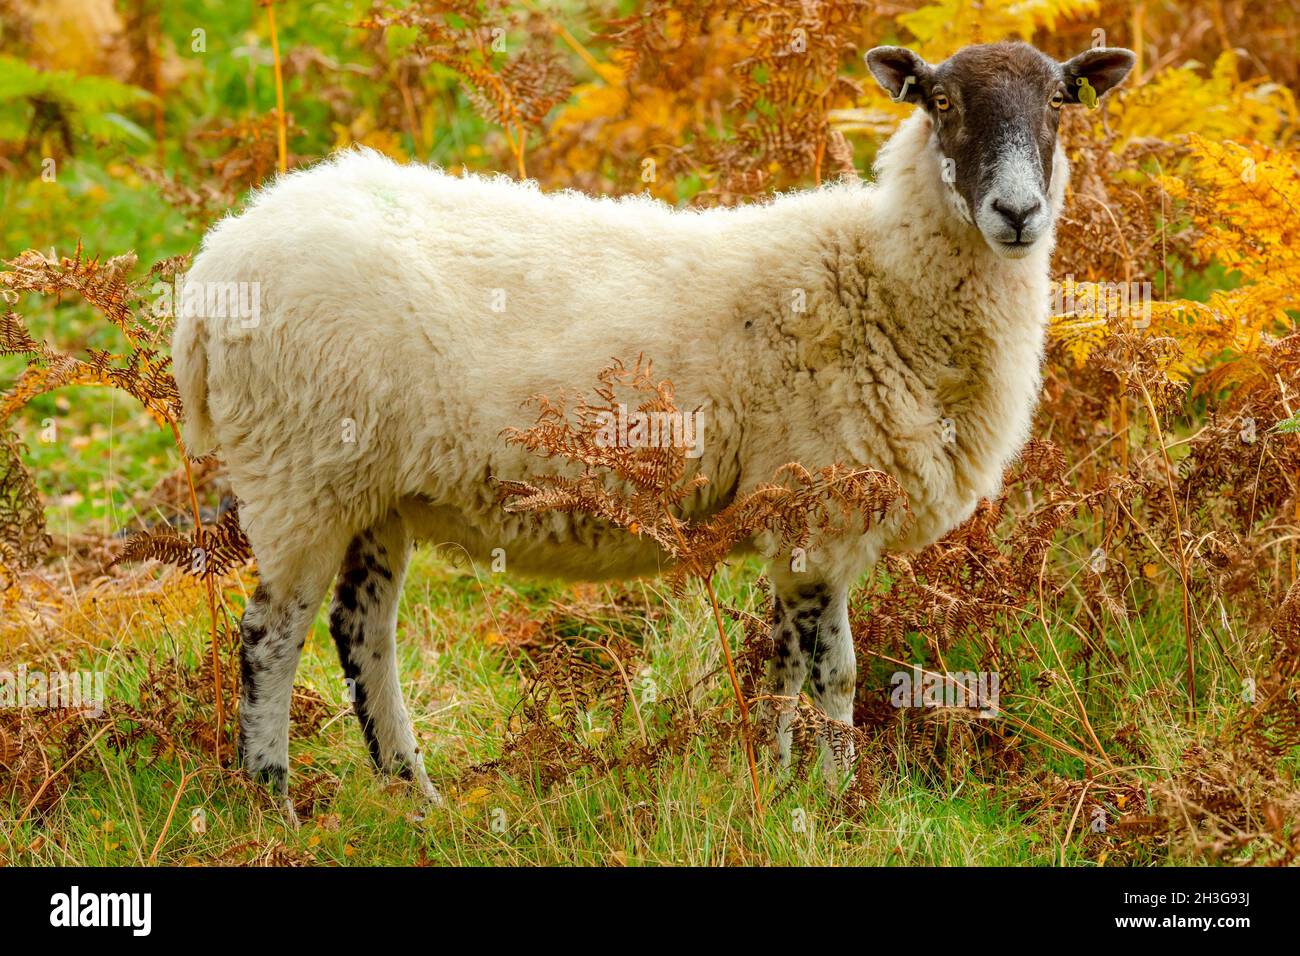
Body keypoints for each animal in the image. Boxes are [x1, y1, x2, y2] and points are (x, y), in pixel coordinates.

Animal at [170, 41, 1135, 811]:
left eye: (1060, 100)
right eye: (940, 103)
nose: (1018, 213)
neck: (878, 278)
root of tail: (218, 260)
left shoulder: (787, 513)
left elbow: (783, 664)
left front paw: (778, 789)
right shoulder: (820, 510)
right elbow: (836, 672)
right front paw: (838, 802)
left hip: (371, 491)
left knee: (359, 631)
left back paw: (418, 797)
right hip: (301, 473)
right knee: (269, 637)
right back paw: (274, 801)